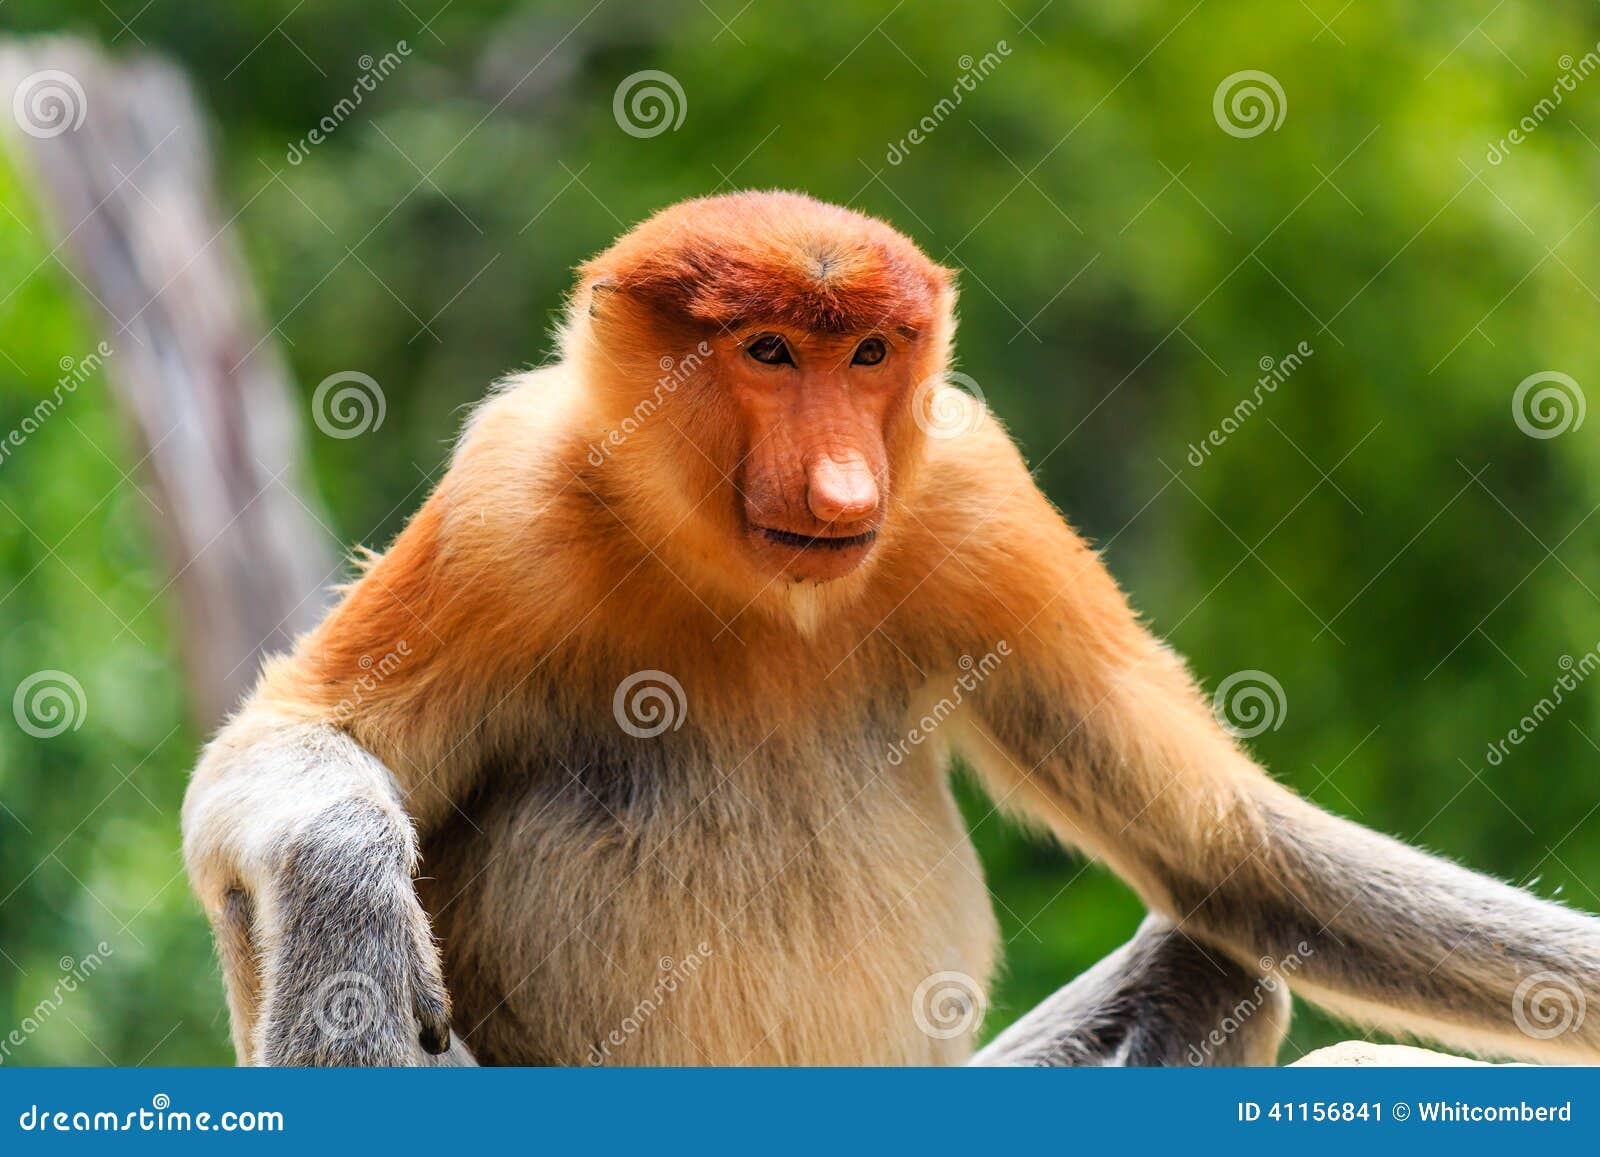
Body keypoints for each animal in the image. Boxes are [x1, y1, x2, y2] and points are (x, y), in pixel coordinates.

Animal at [183, 189, 1600, 1067]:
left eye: (867, 354)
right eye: (766, 350)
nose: (841, 488)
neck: (742, 583)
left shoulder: (977, 502)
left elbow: (1228, 851)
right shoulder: (503, 507)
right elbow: (277, 760)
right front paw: (350, 858)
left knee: (1220, 966)